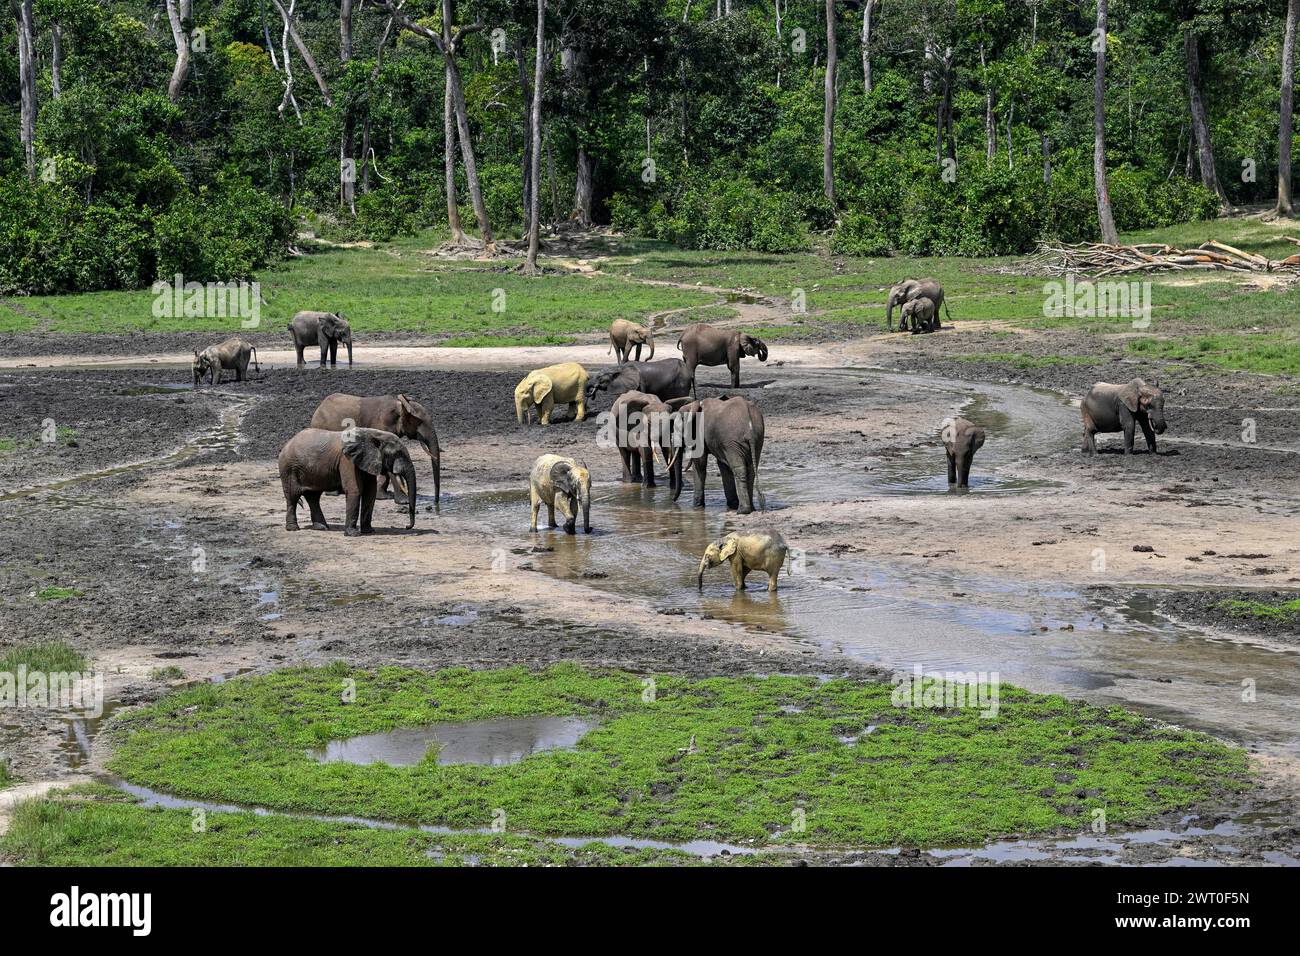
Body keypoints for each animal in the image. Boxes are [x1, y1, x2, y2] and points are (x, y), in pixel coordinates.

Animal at [277, 427, 417, 535]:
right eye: (398, 453)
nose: (407, 527)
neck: (372, 434)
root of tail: (287, 443)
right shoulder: (347, 460)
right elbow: (355, 490)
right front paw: (353, 534)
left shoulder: (365, 460)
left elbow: (370, 492)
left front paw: (369, 531)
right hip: (289, 468)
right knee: (293, 496)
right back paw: (293, 529)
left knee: (313, 497)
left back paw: (322, 527)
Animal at [309, 393, 441, 503]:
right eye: (421, 423)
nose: (436, 502)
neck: (400, 404)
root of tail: (319, 407)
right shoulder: (381, 426)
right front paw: (403, 501)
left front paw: (383, 496)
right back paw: (333, 493)